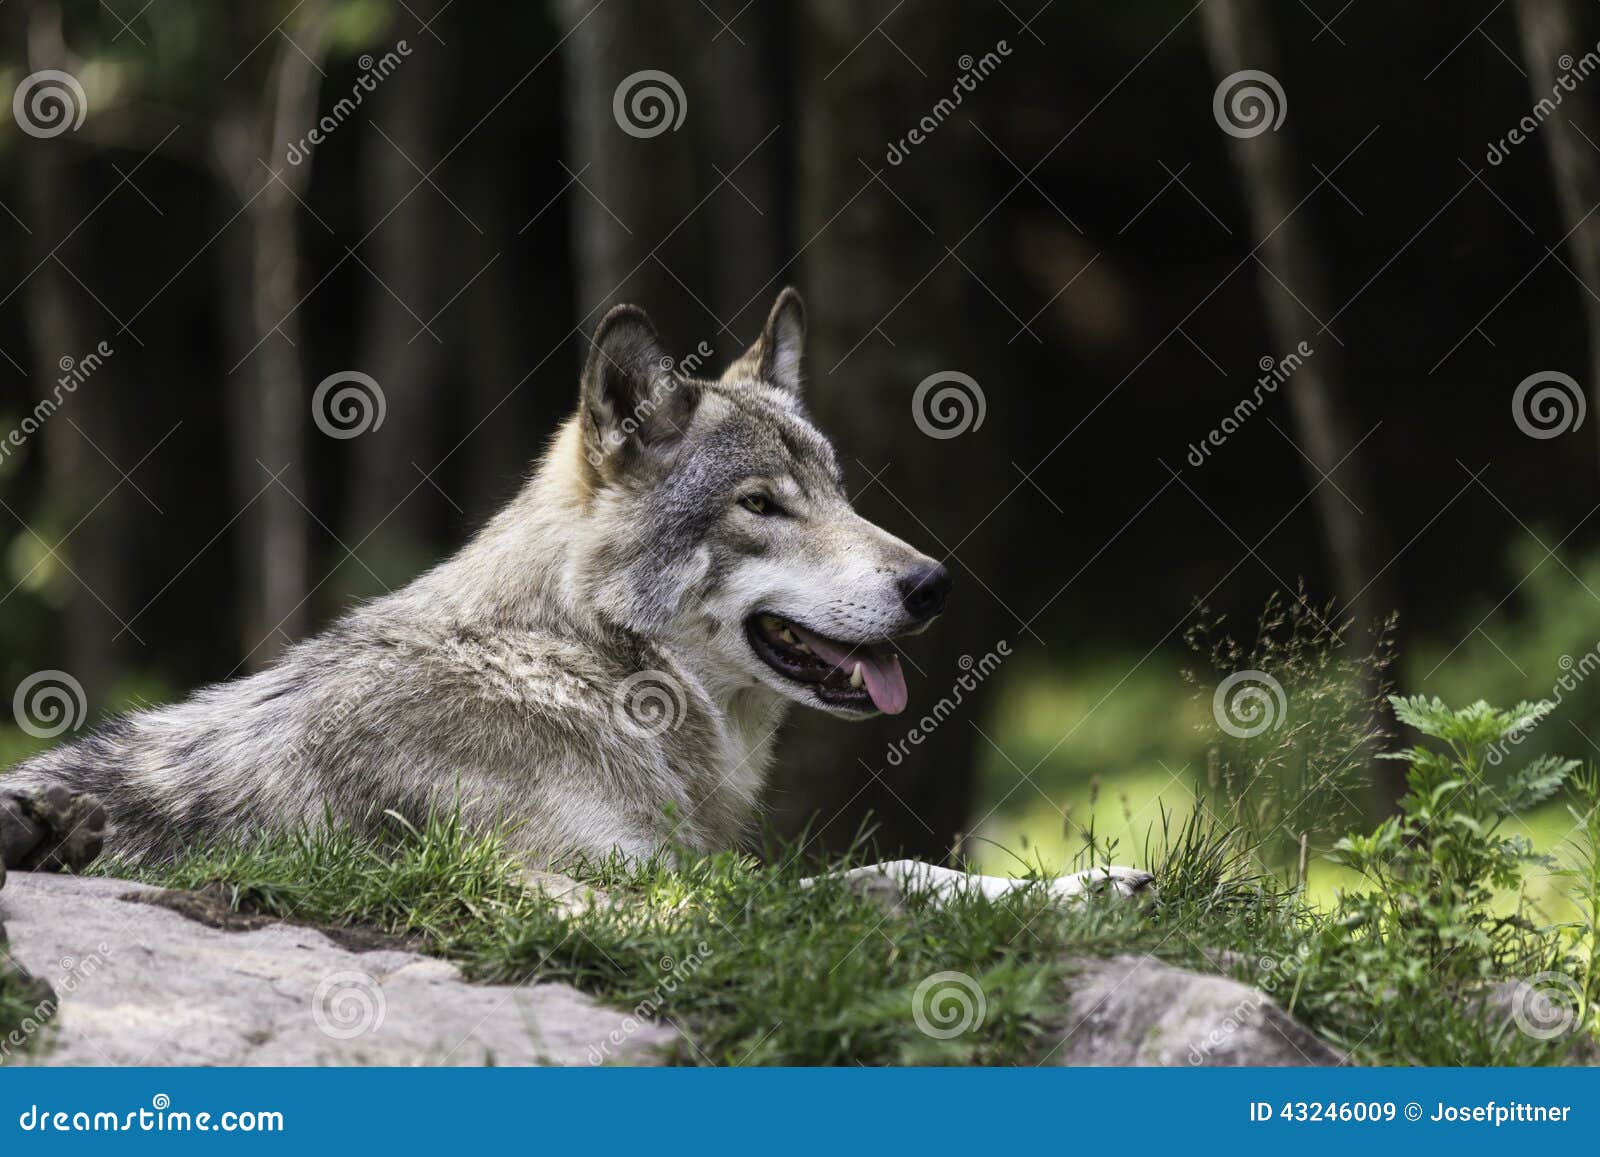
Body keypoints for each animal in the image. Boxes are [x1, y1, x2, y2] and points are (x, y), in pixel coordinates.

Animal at [1, 290, 1149, 900]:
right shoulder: (586, 881)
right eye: (760, 504)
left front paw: (1078, 887)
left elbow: (896, 869)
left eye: (837, 489)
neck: (585, 667)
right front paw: (1072, 895)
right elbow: (871, 881)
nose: (932, 583)